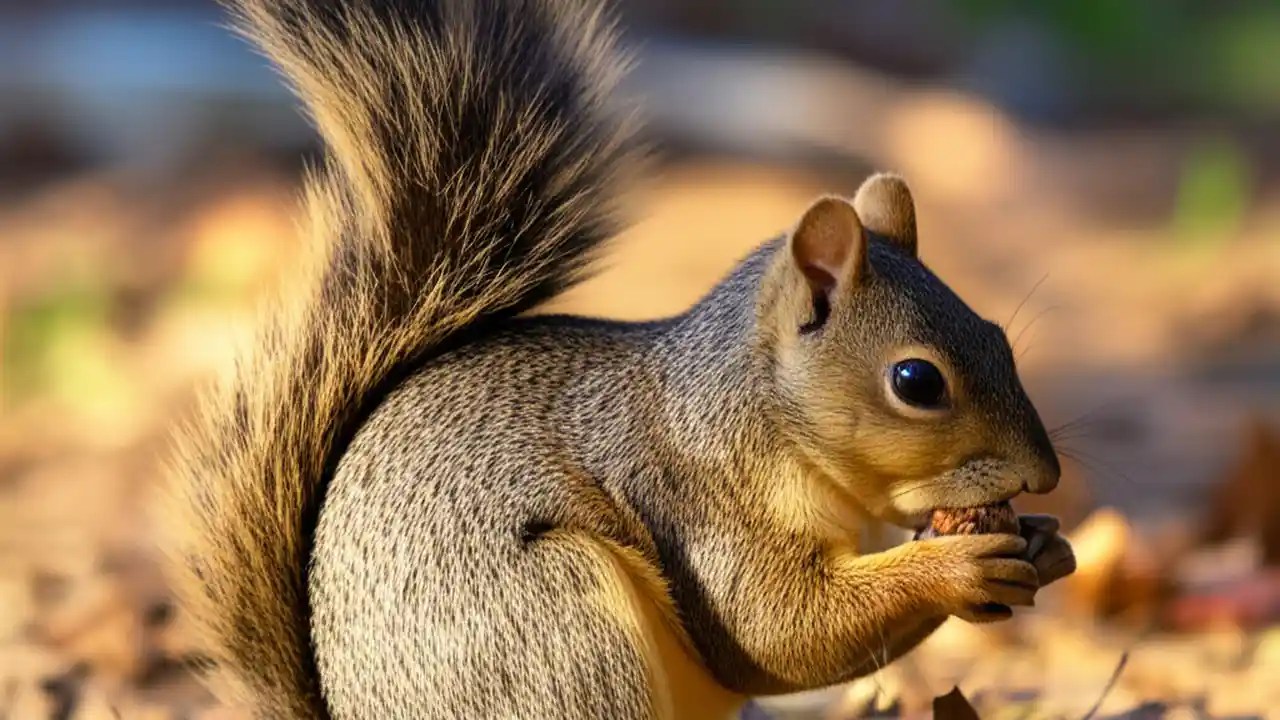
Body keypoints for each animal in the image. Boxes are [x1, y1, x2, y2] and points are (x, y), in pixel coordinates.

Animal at [163, 0, 1077, 718]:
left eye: (998, 336)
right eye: (916, 380)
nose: (1045, 475)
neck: (753, 414)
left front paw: (1047, 550)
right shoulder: (696, 501)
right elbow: (777, 635)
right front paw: (955, 566)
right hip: (557, 627)